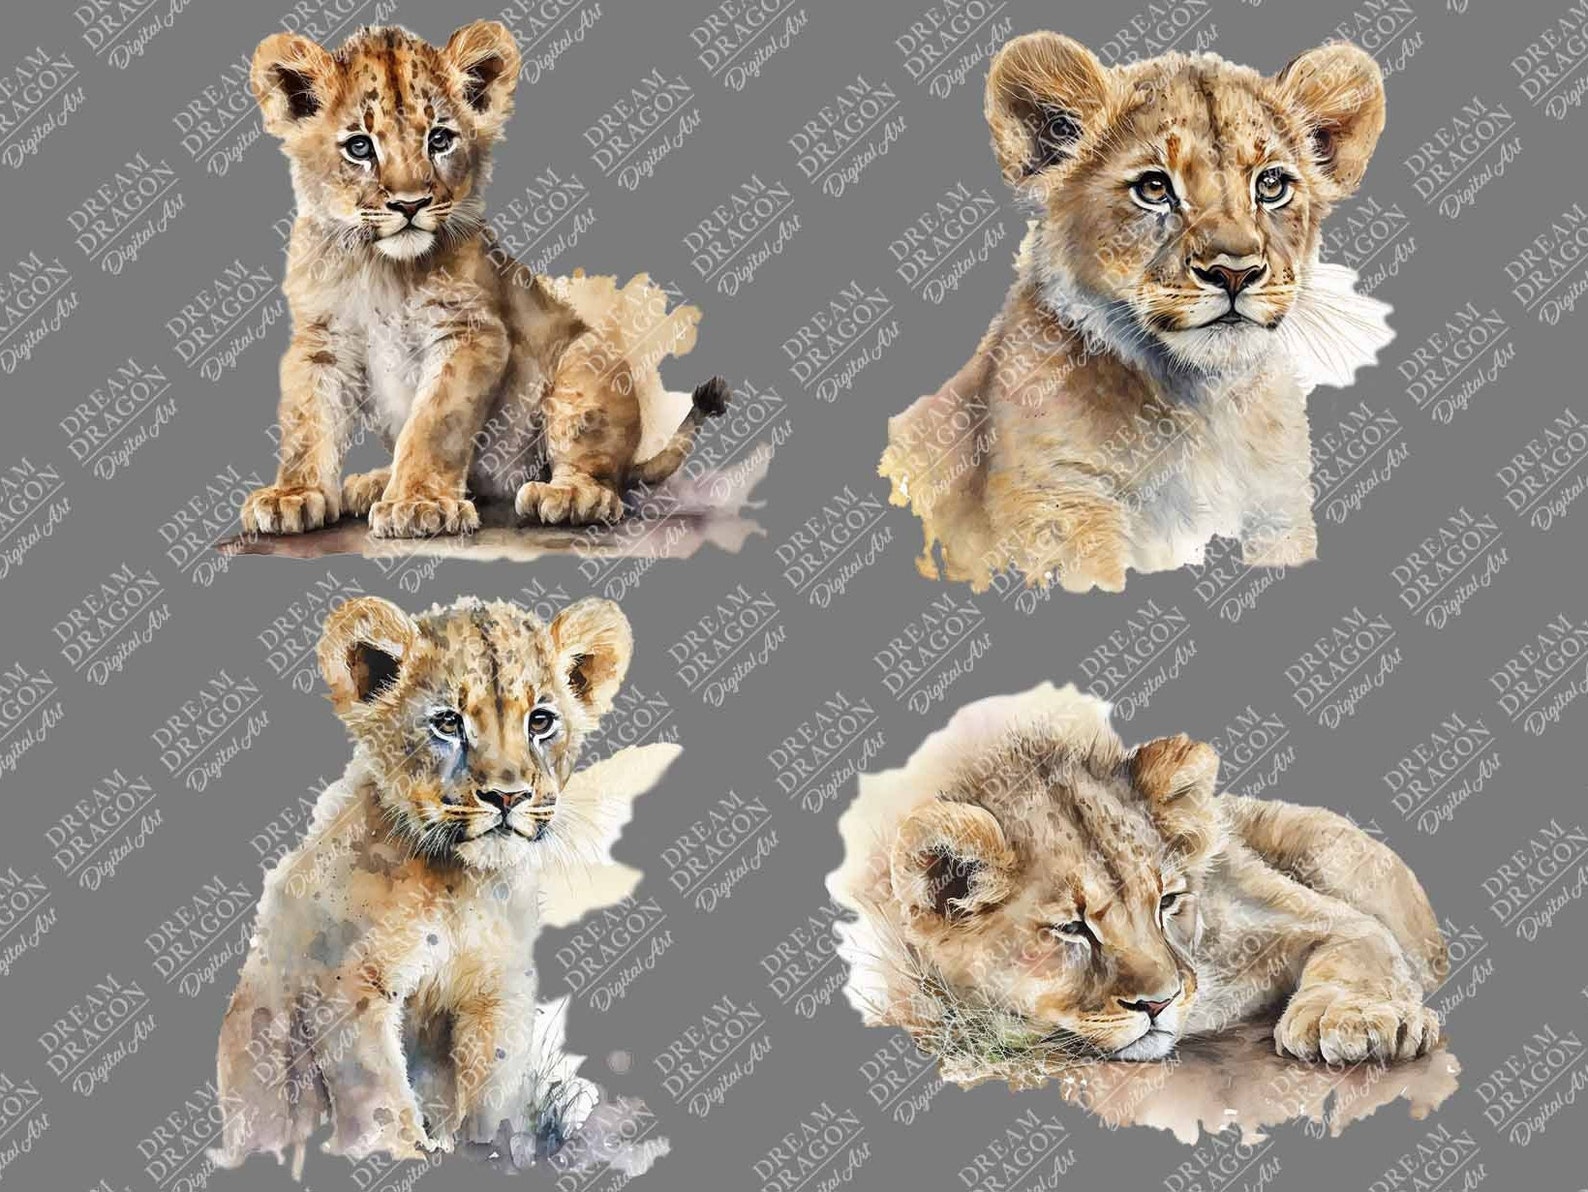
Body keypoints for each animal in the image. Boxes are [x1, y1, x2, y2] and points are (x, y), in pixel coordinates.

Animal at [211, 593, 675, 1172]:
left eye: (541, 721)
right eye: (448, 723)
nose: (508, 796)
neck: (459, 884)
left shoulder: (496, 991)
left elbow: (492, 1089)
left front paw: (493, 1154)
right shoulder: (342, 982)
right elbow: (379, 1096)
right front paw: (400, 1156)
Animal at [239, 22, 729, 539]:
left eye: (439, 139)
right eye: (359, 147)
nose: (410, 204)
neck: (382, 267)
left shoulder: (472, 331)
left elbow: (434, 423)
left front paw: (419, 503)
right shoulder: (320, 340)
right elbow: (307, 423)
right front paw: (293, 496)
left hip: (588, 364)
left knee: (601, 474)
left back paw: (571, 496)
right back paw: (372, 482)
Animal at [829, 684, 1448, 1090]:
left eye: (1167, 902)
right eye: (1072, 928)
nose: (1160, 1002)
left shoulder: (1281, 917)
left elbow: (1362, 938)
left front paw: (1356, 1020)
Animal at [880, 33, 1394, 592]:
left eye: (1272, 184)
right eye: (1153, 188)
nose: (1234, 271)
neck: (1201, 406)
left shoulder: (1276, 511)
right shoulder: (1061, 507)